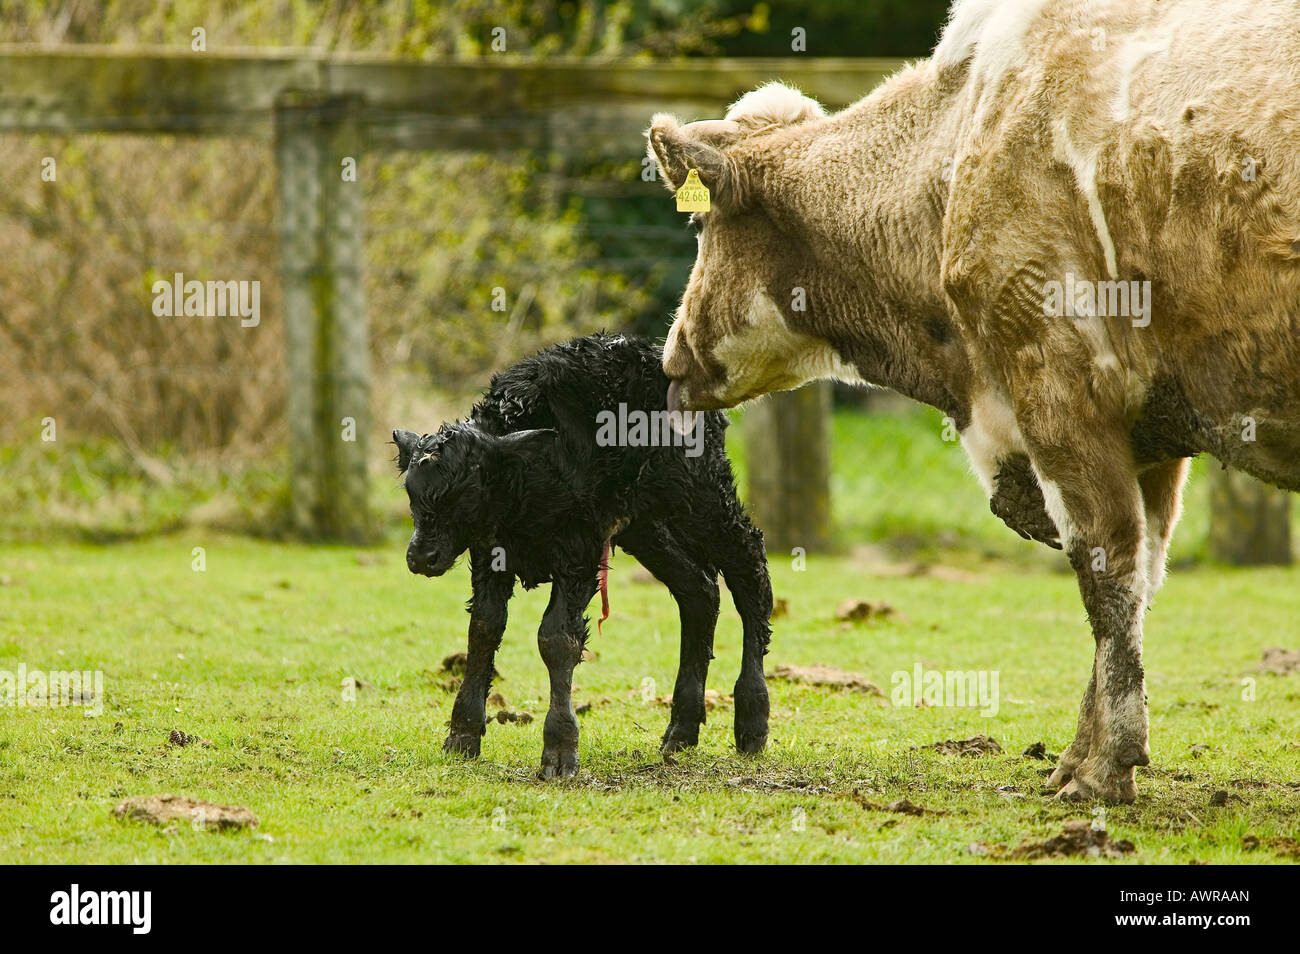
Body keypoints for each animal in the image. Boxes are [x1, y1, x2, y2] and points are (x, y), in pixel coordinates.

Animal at [646, 0, 1300, 802]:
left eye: (699, 224)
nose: (672, 356)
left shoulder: (1058, 383)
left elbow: (1107, 570)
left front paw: (1103, 768)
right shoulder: (1151, 438)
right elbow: (1140, 579)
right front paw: (1077, 757)